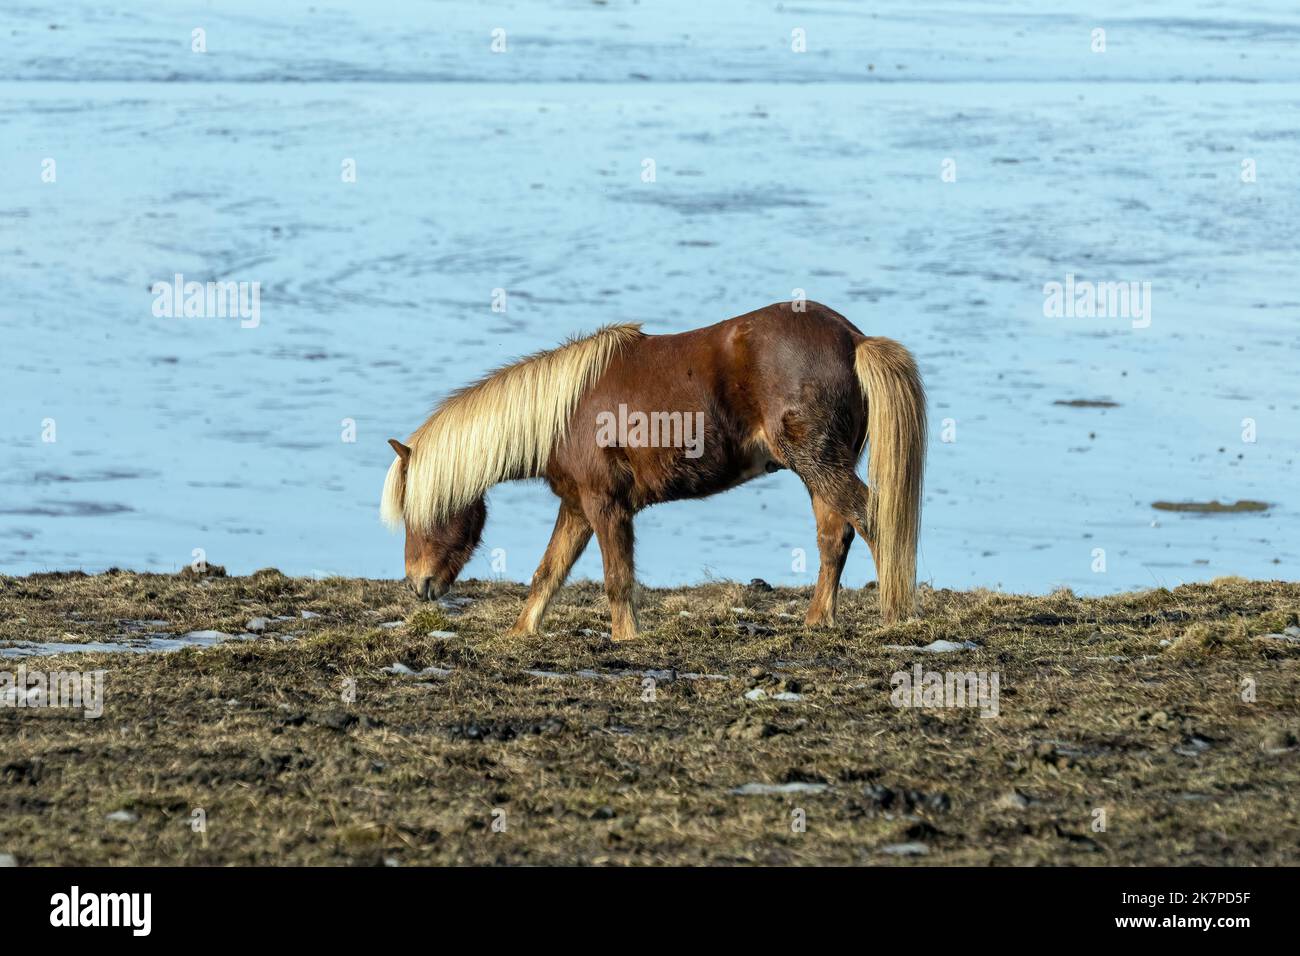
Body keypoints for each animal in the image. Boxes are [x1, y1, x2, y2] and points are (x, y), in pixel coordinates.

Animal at [382, 301, 926, 642]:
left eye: (422, 510)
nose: (418, 585)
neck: (565, 412)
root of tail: (854, 340)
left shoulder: (606, 506)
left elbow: (616, 578)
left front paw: (626, 639)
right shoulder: (577, 507)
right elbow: (548, 572)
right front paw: (521, 632)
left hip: (820, 465)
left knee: (873, 521)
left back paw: (893, 617)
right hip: (819, 472)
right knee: (836, 538)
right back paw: (817, 621)